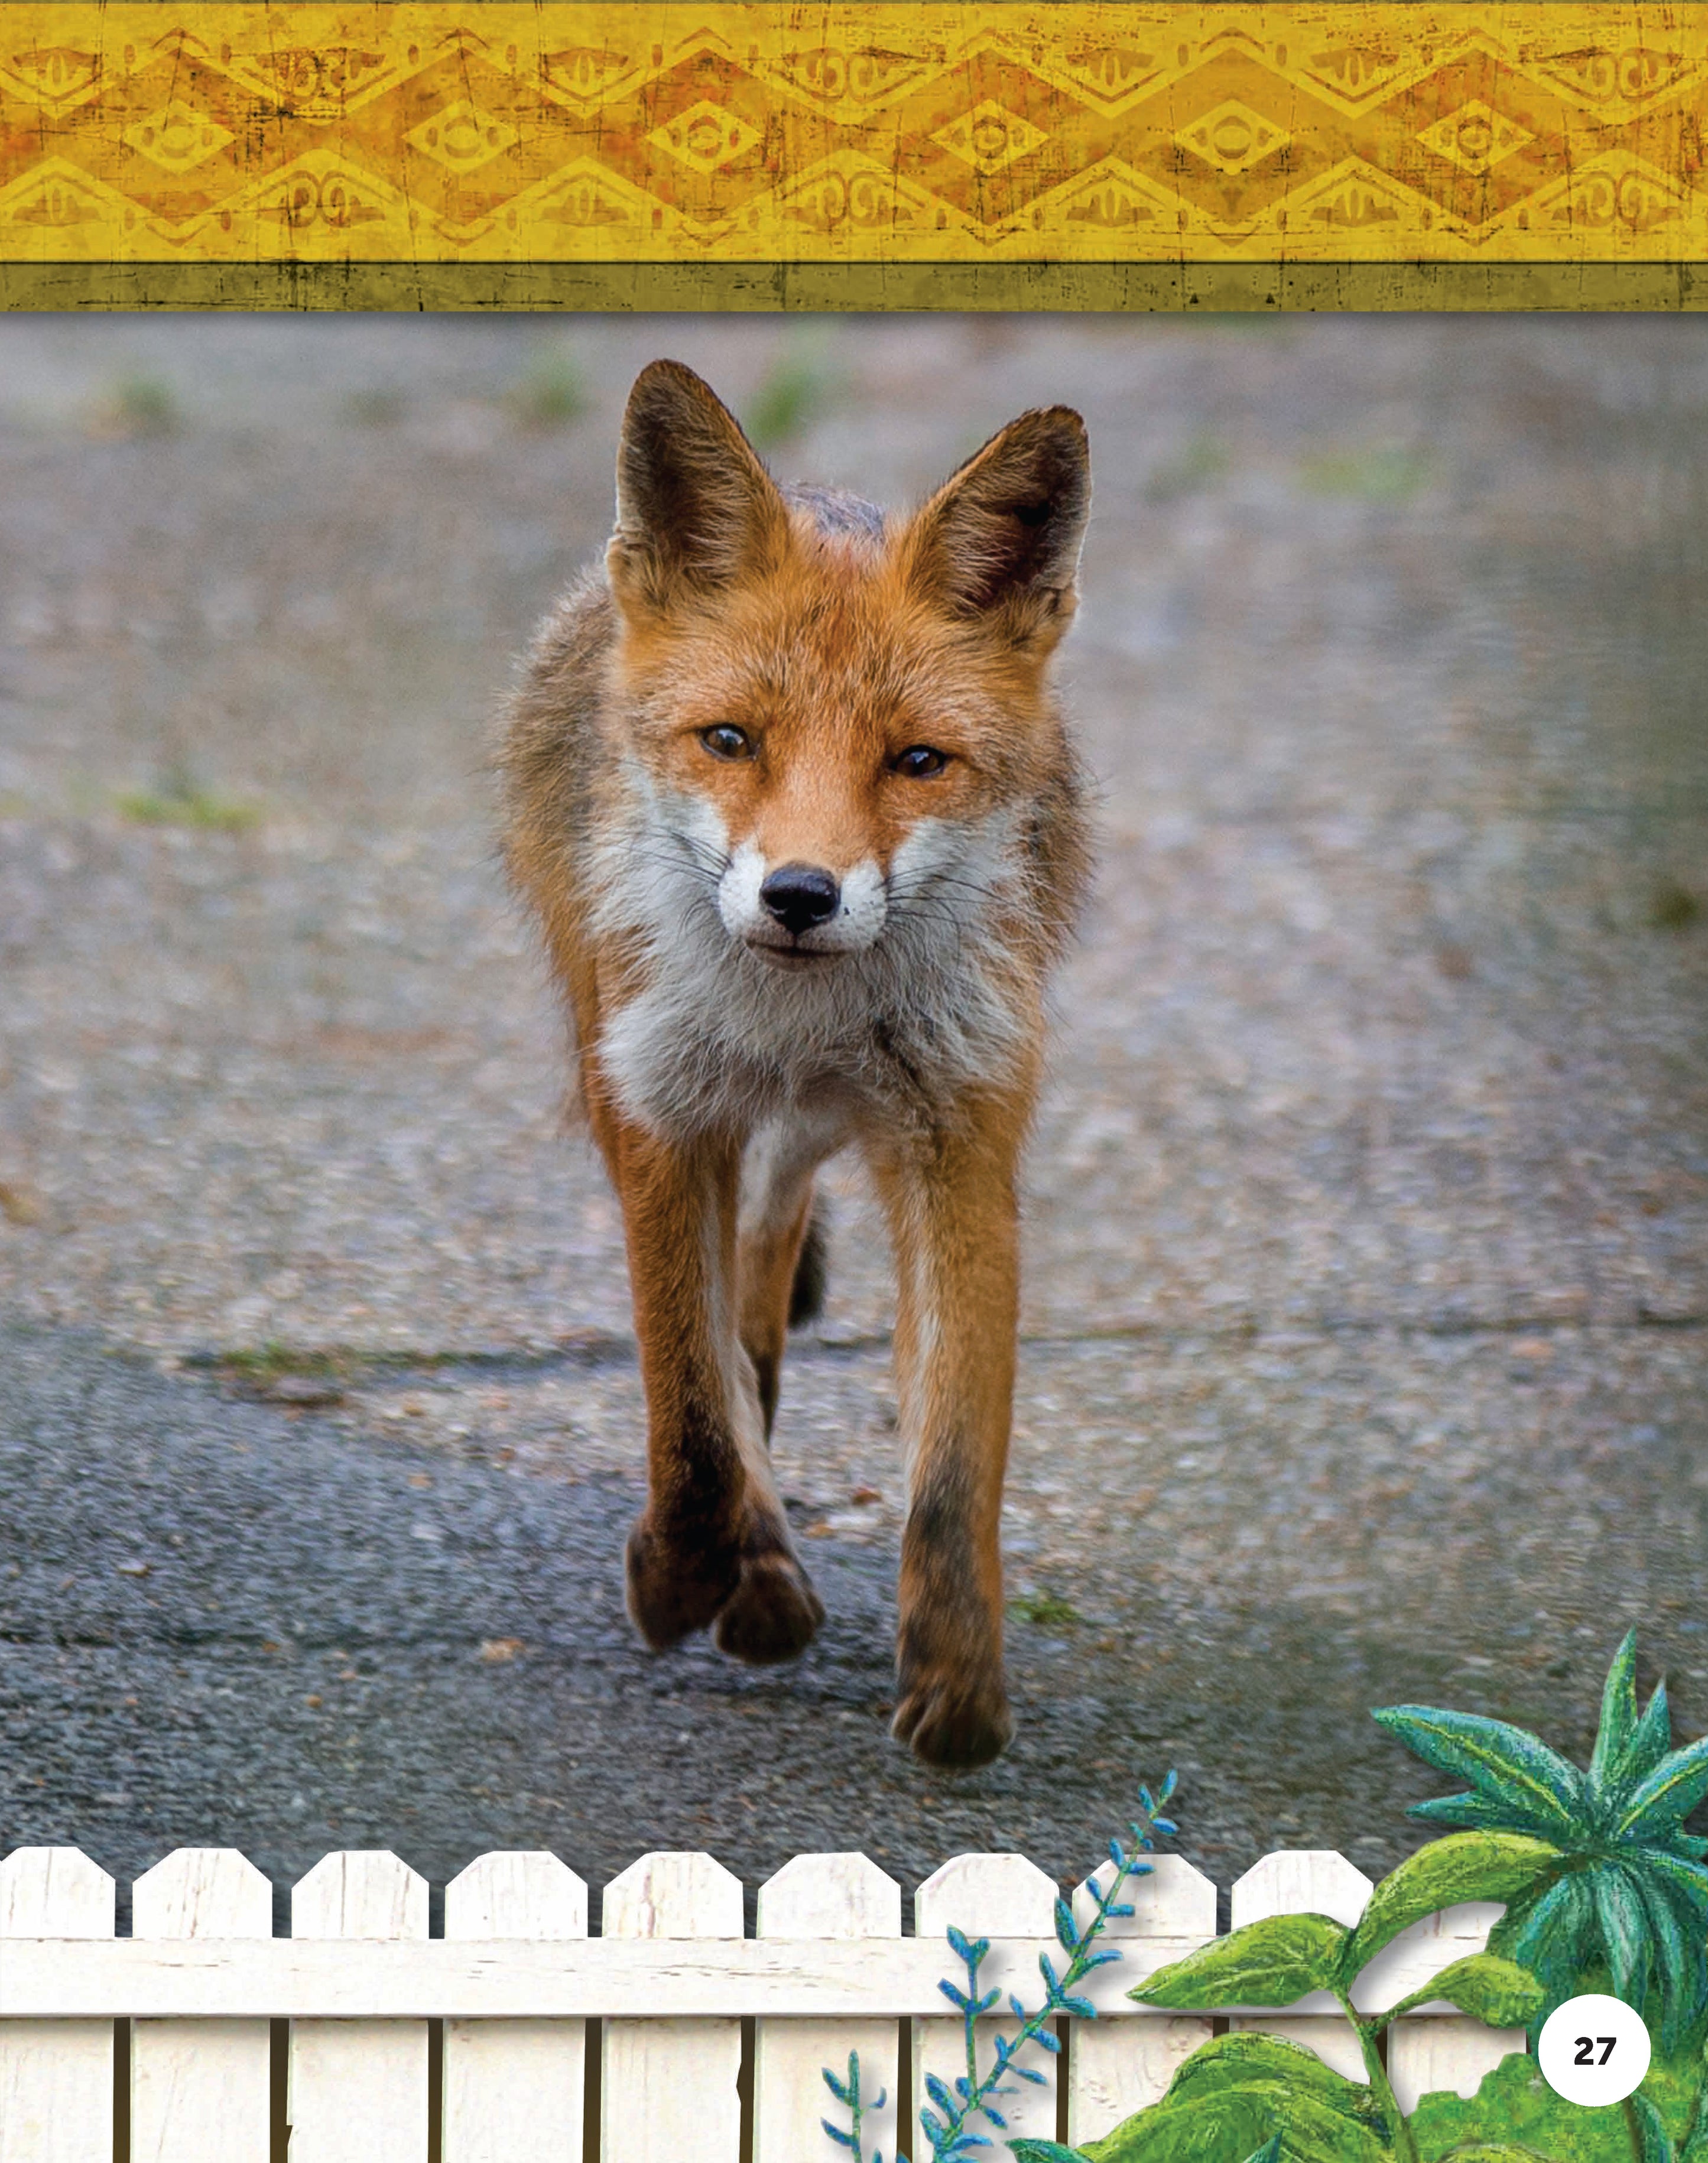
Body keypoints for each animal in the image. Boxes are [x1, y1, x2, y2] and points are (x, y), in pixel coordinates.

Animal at [498, 359, 1092, 1769]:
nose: (801, 897)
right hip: (634, 1065)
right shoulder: (657, 1110)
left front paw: (957, 1683)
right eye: (731, 741)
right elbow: (687, 1408)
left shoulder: (958, 1138)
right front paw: (688, 1572)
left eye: (917, 762)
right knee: (723, 1345)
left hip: (810, 1134)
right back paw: (752, 1563)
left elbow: (953, 1460)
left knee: (766, 1273)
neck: (797, 1018)